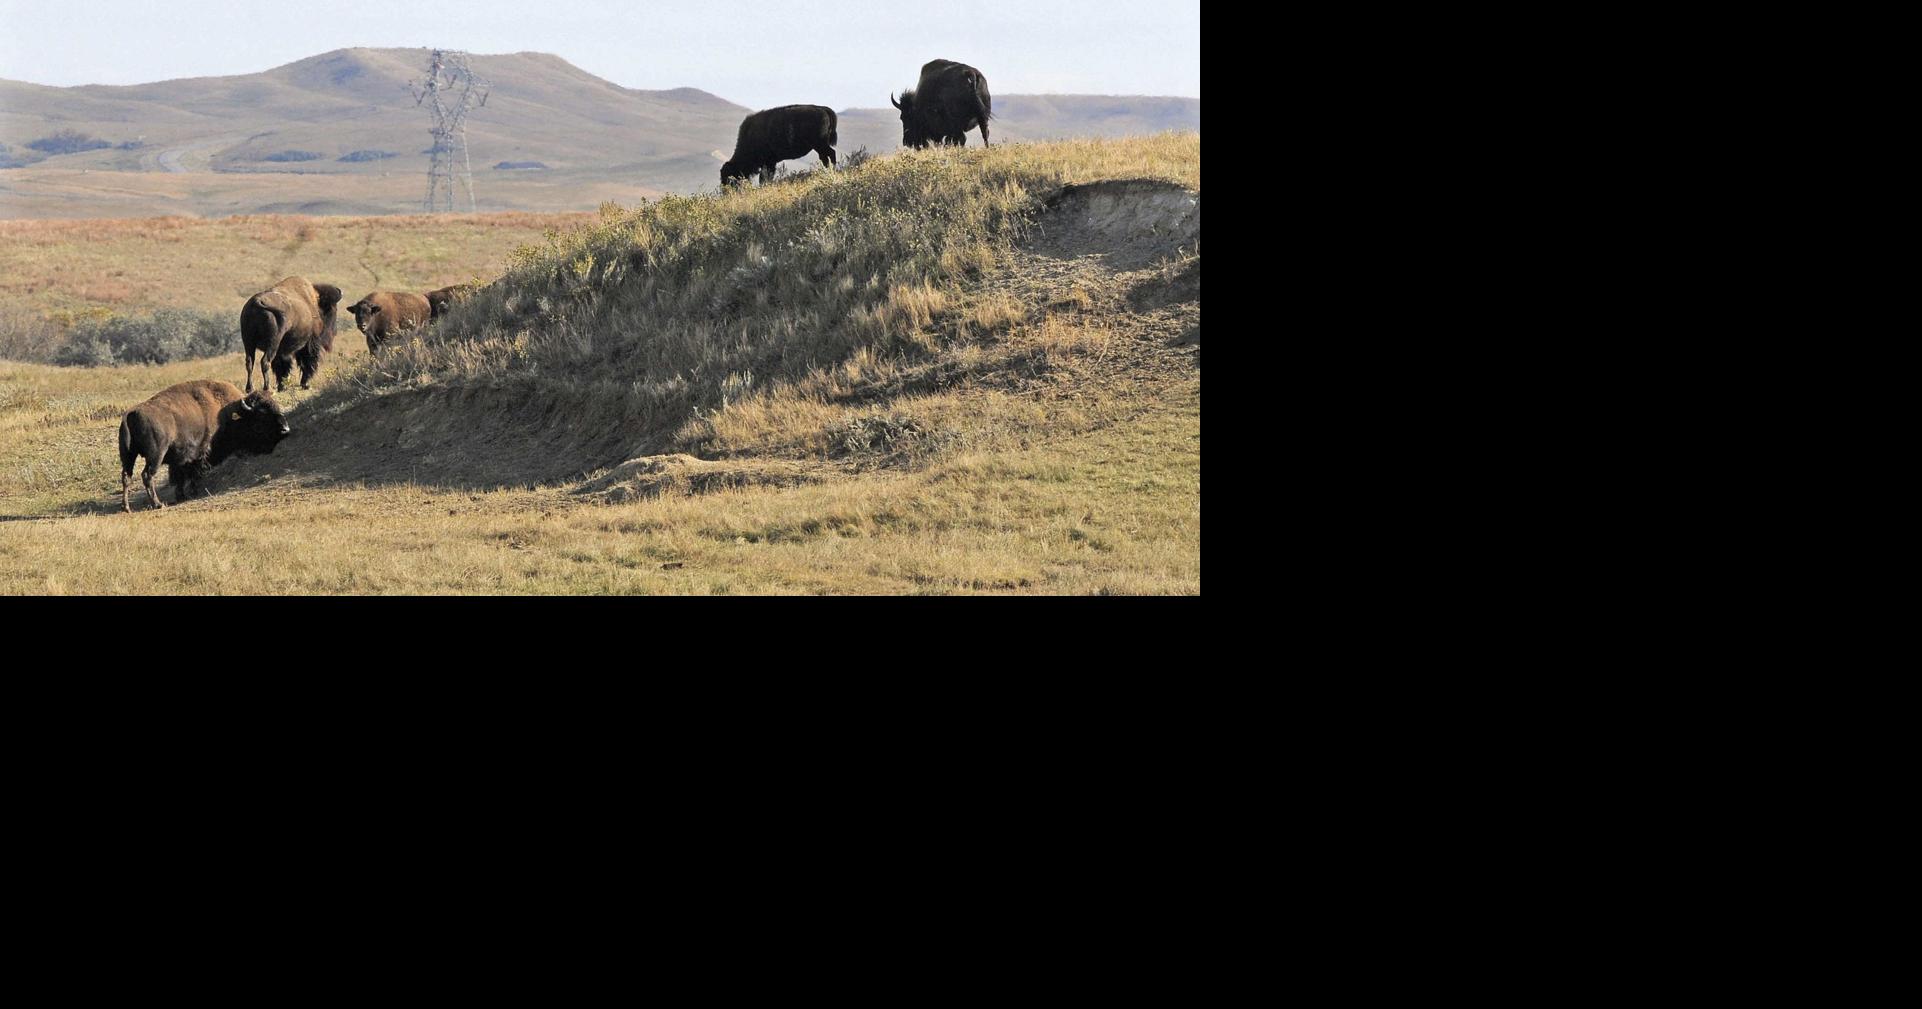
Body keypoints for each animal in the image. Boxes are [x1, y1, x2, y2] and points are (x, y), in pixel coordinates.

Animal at [118, 379, 289, 512]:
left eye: (276, 406)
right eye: (262, 415)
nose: (285, 429)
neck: (229, 412)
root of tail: (131, 412)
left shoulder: (180, 460)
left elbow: (180, 477)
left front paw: (182, 496)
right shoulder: (200, 452)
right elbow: (194, 473)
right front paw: (193, 493)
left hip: (128, 456)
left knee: (126, 476)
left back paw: (126, 508)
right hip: (156, 456)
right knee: (147, 475)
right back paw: (158, 504)